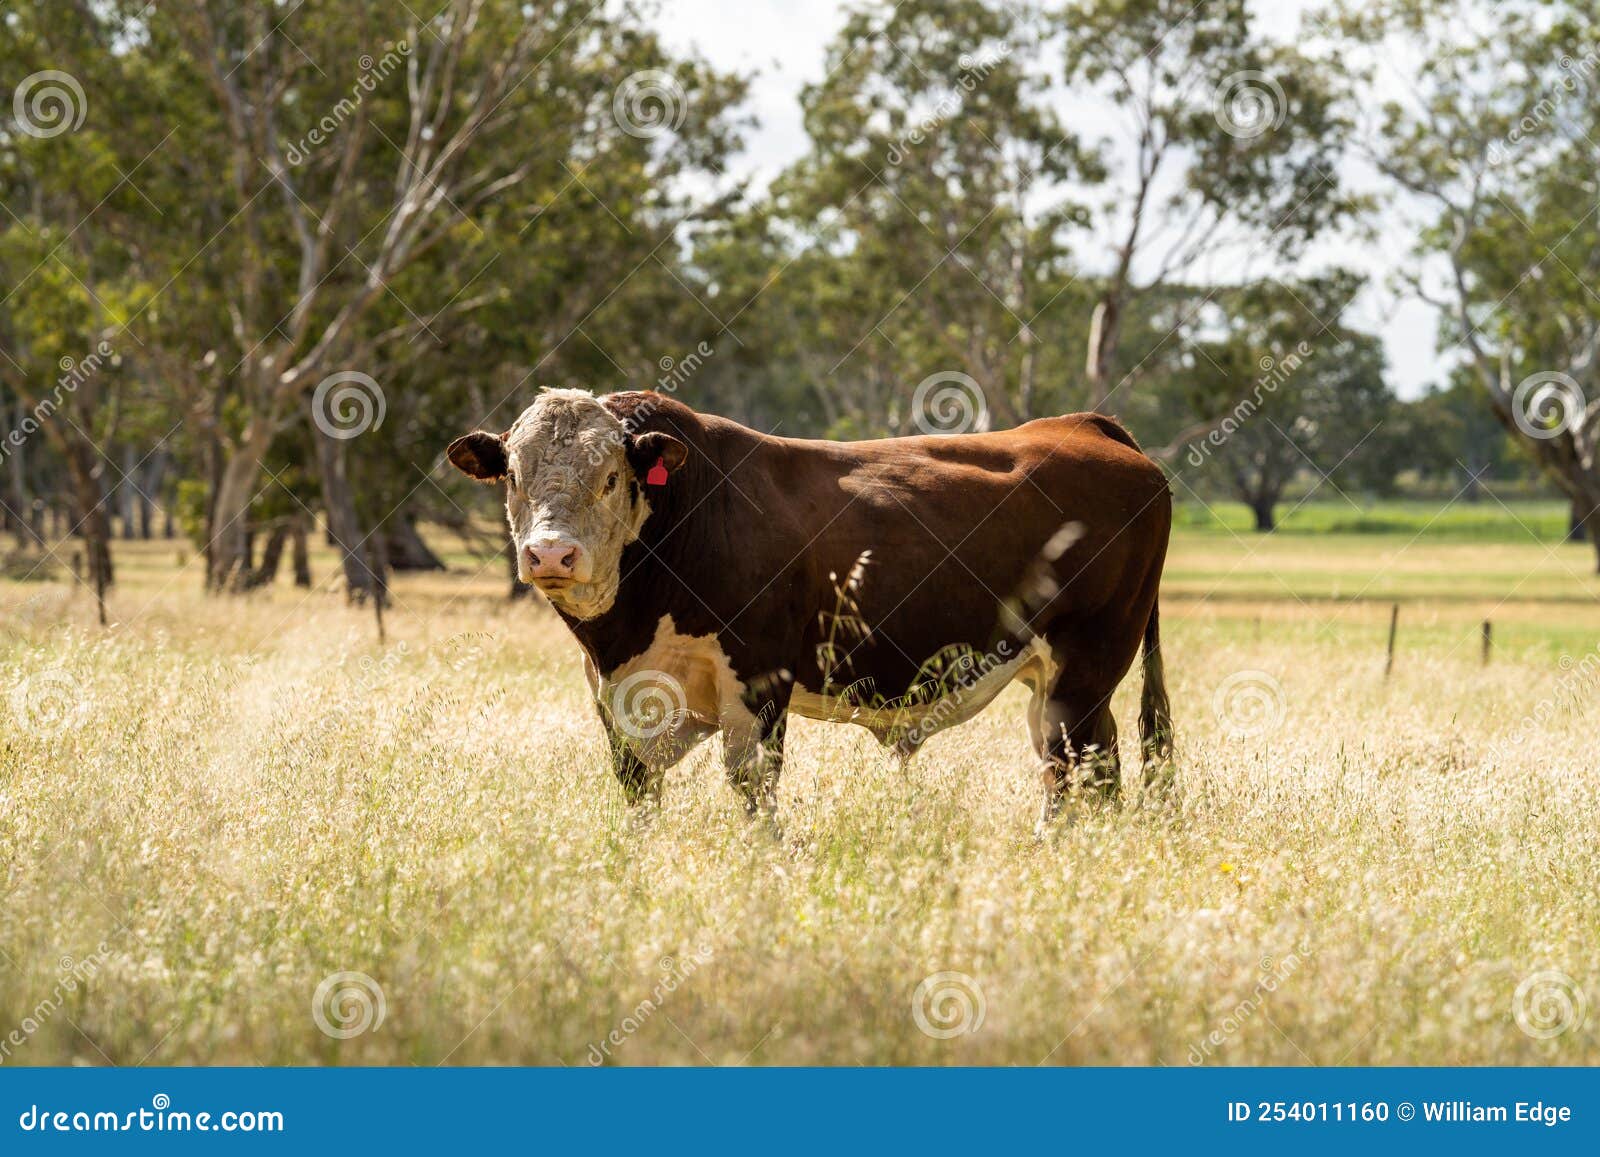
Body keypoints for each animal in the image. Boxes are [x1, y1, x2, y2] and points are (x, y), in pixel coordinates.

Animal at [447, 388, 1174, 831]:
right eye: (513, 476)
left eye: (609, 478)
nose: (551, 553)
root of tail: (1085, 427)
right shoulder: (616, 693)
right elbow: (637, 791)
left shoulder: (759, 679)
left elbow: (754, 790)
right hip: (1060, 682)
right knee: (1086, 766)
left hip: (1084, 671)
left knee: (1077, 766)